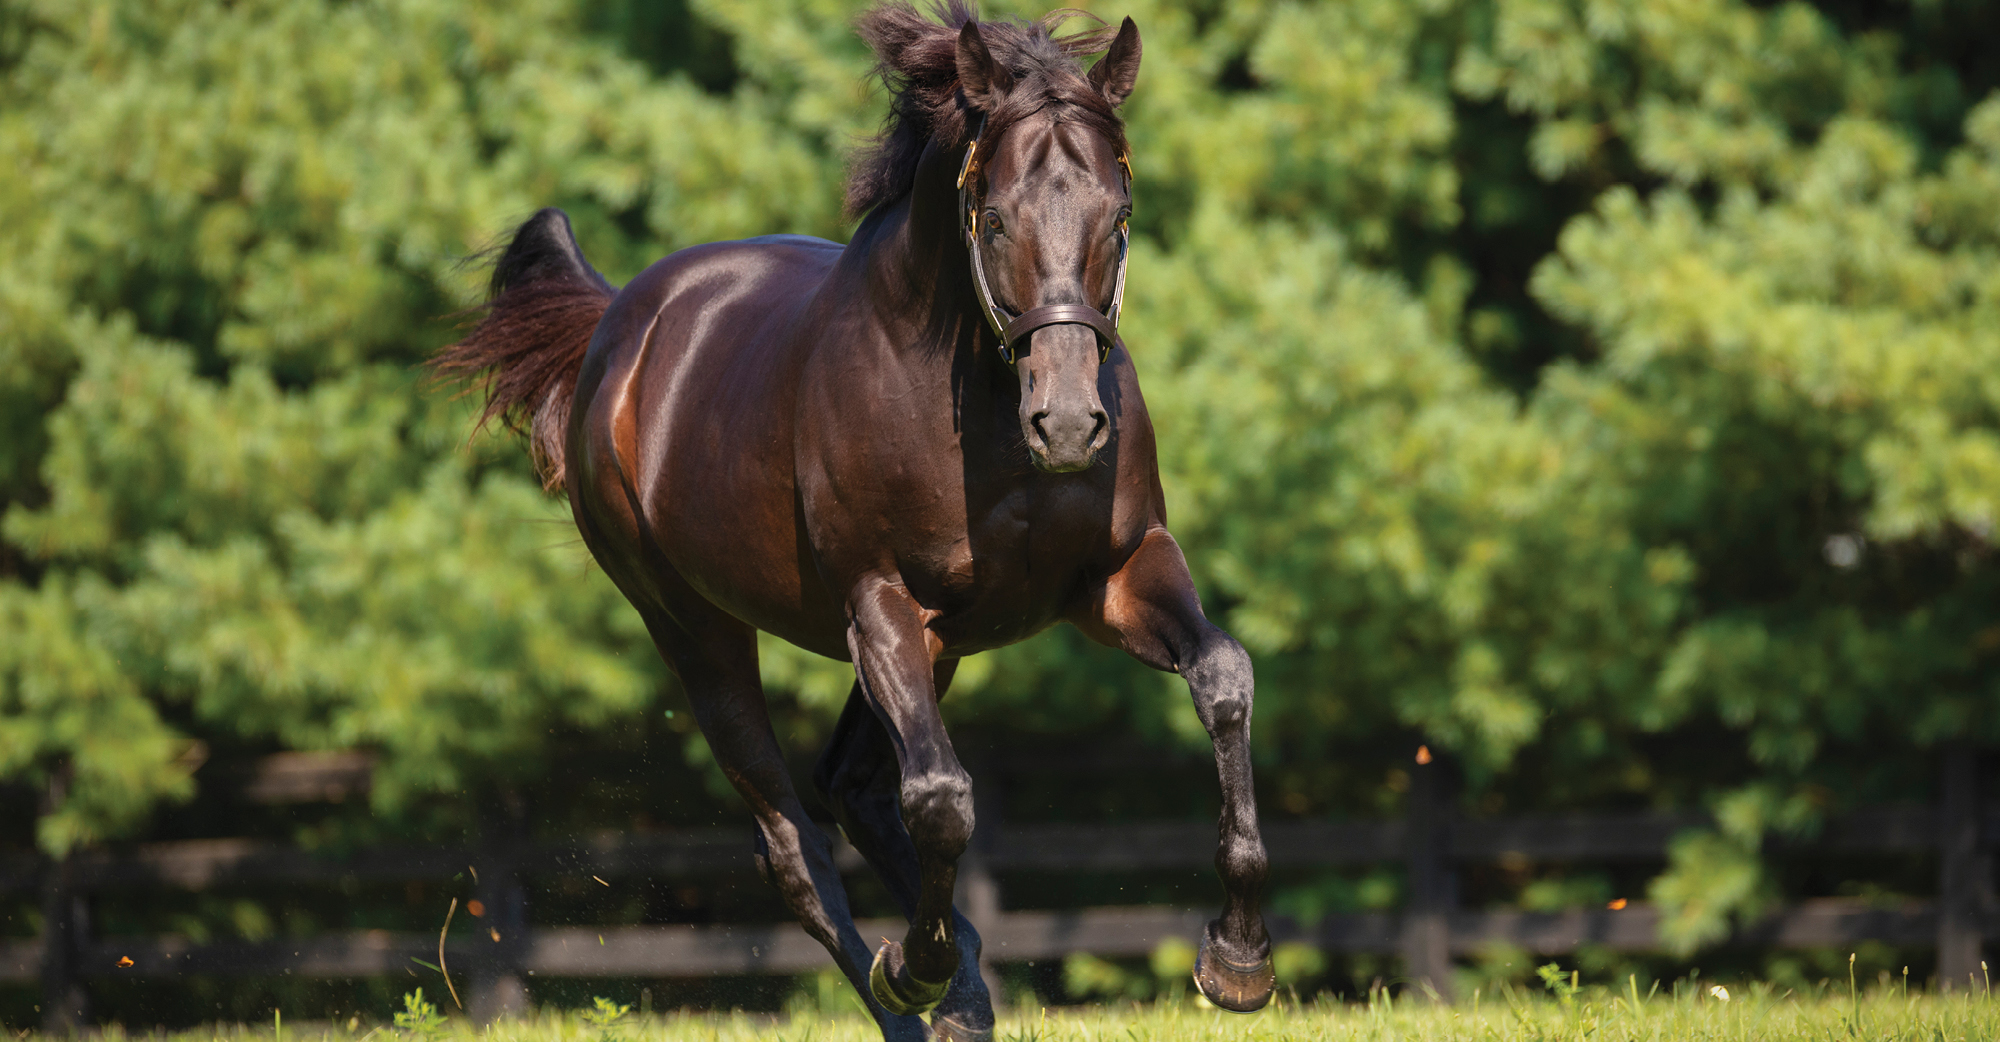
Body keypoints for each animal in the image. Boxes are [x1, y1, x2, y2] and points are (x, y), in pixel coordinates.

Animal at [435, 4, 1271, 1037]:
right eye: (995, 216)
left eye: (1118, 217)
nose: (1071, 424)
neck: (983, 411)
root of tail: (615, 330)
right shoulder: (879, 602)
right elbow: (943, 799)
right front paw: (912, 969)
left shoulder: (1114, 574)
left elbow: (1224, 679)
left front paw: (1237, 960)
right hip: (699, 629)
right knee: (795, 843)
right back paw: (916, 994)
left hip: (940, 641)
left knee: (852, 785)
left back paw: (965, 988)